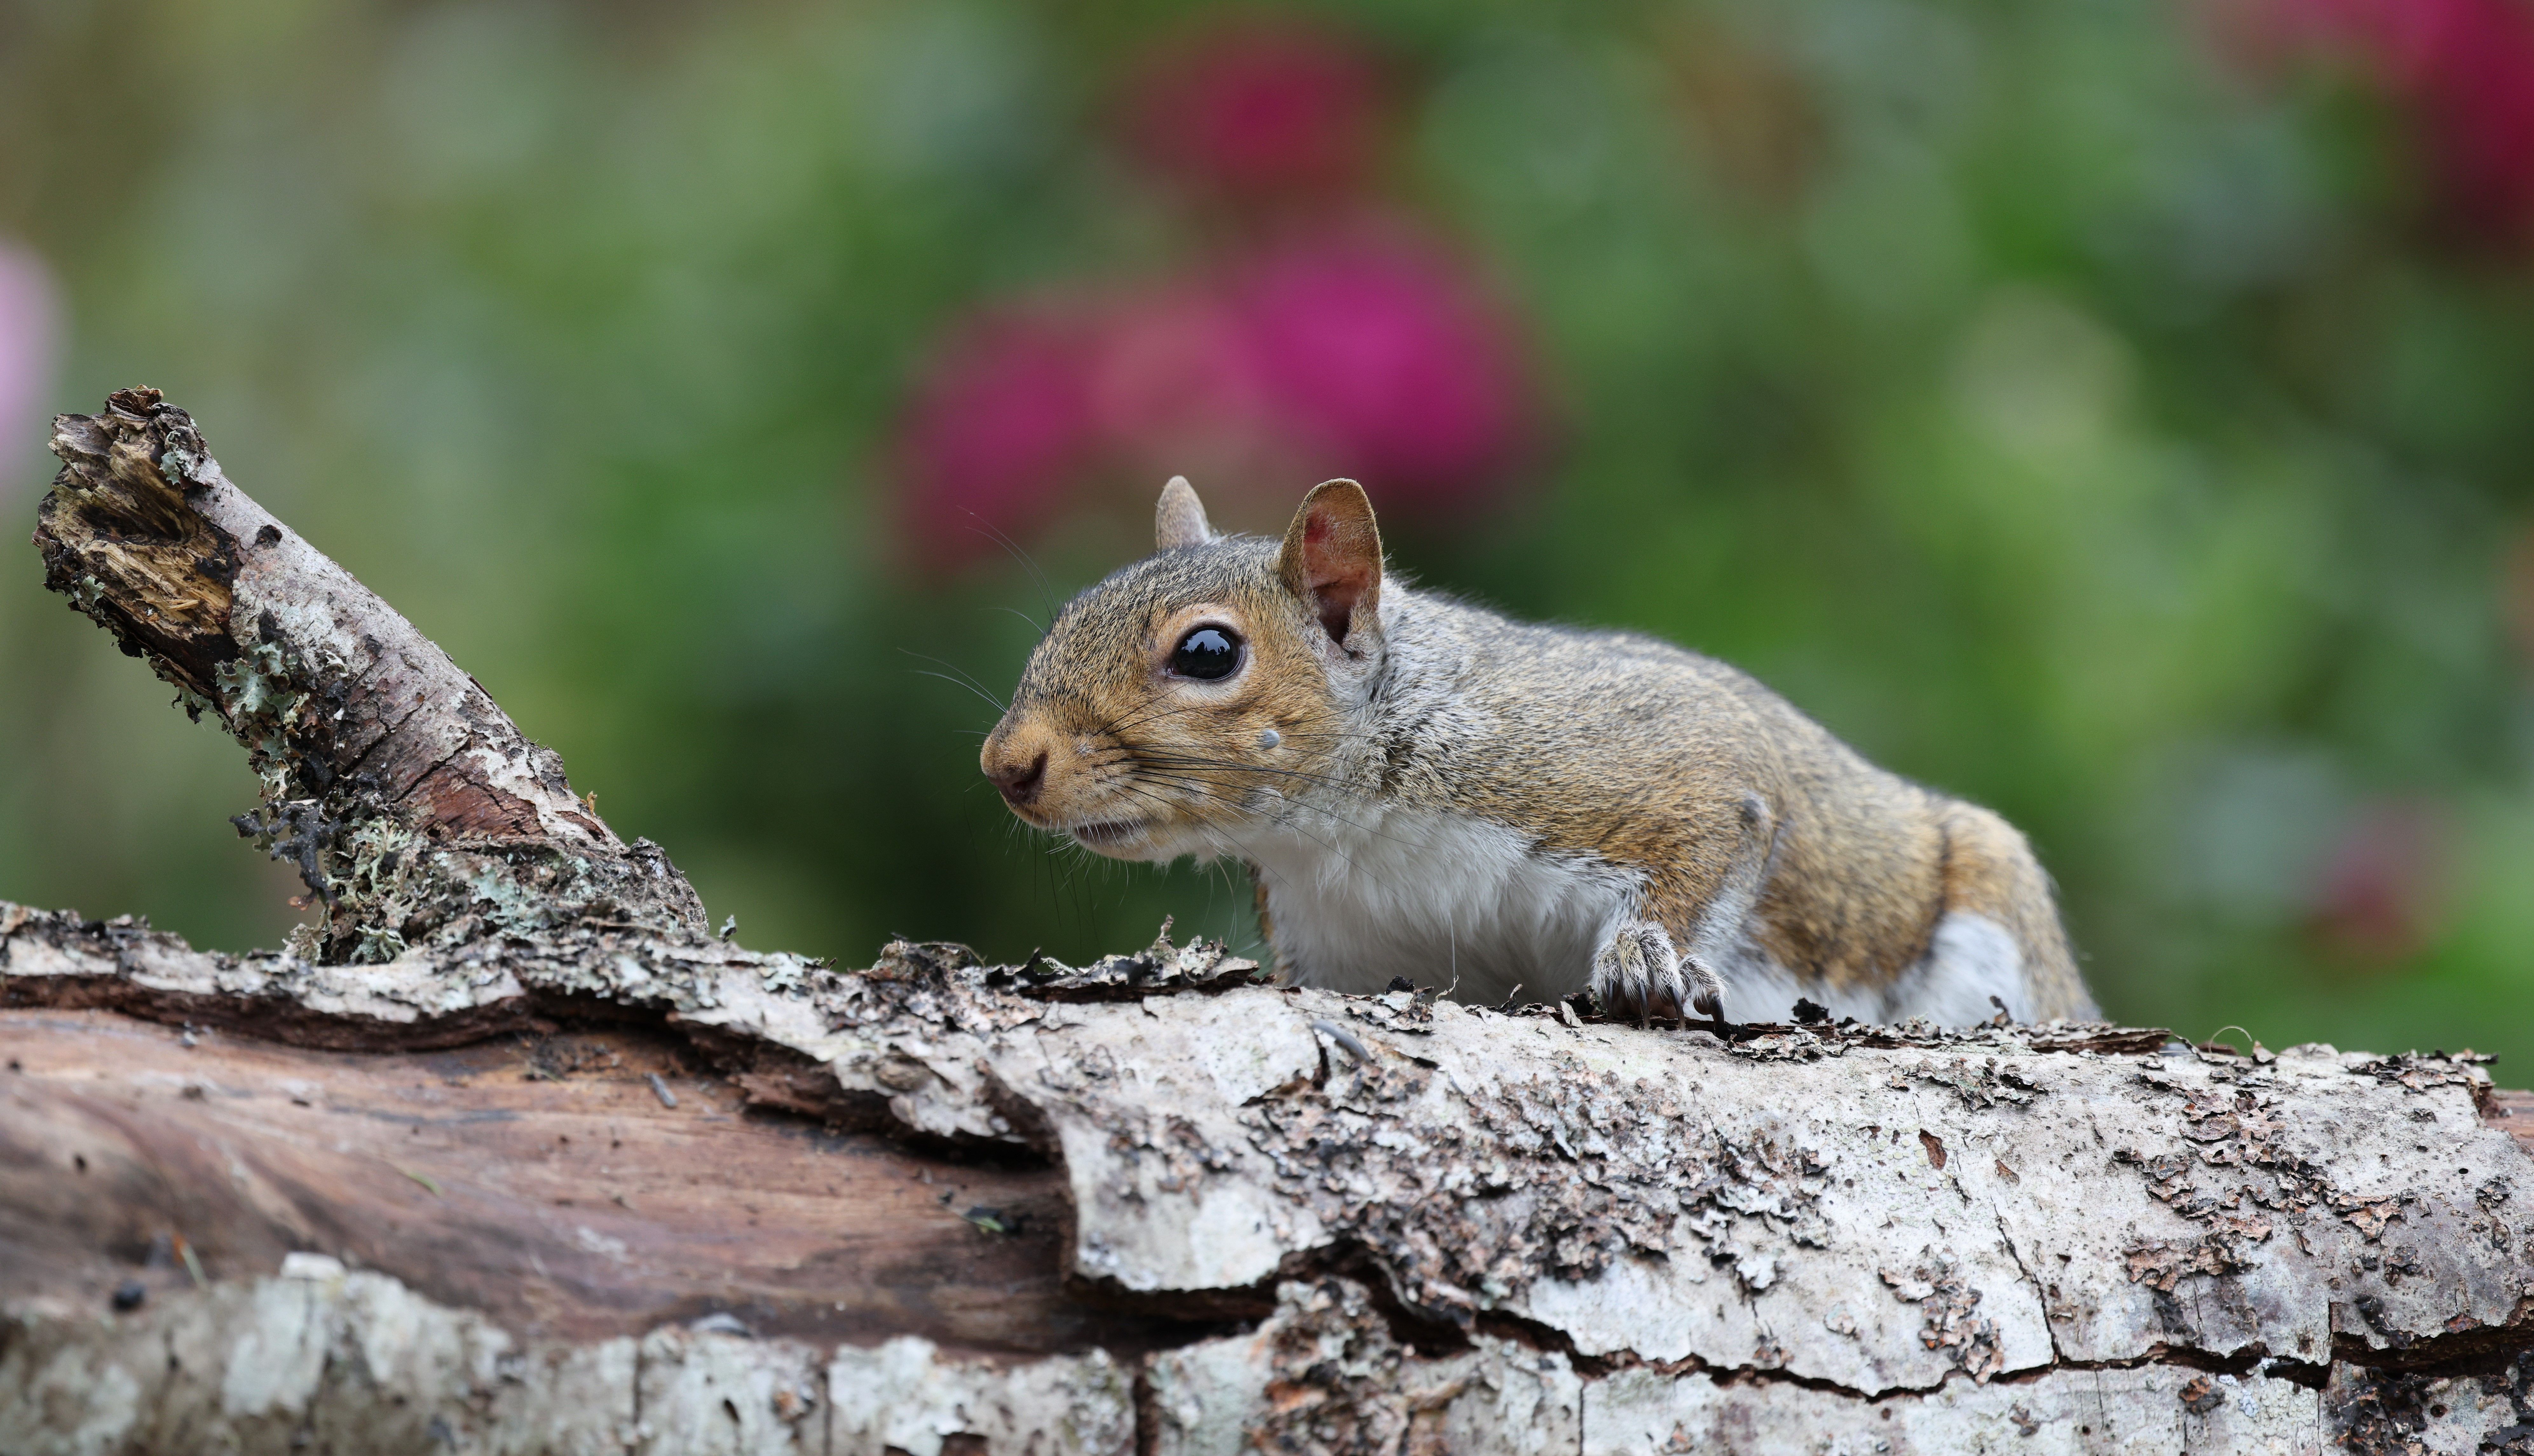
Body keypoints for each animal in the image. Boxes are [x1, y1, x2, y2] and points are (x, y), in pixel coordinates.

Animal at [981, 476, 2098, 1028]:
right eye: (1069, 613)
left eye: (1208, 653)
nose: (1005, 765)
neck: (1344, 834)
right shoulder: (1343, 947)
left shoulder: (1621, 764)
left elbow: (1713, 827)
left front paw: (1645, 957)